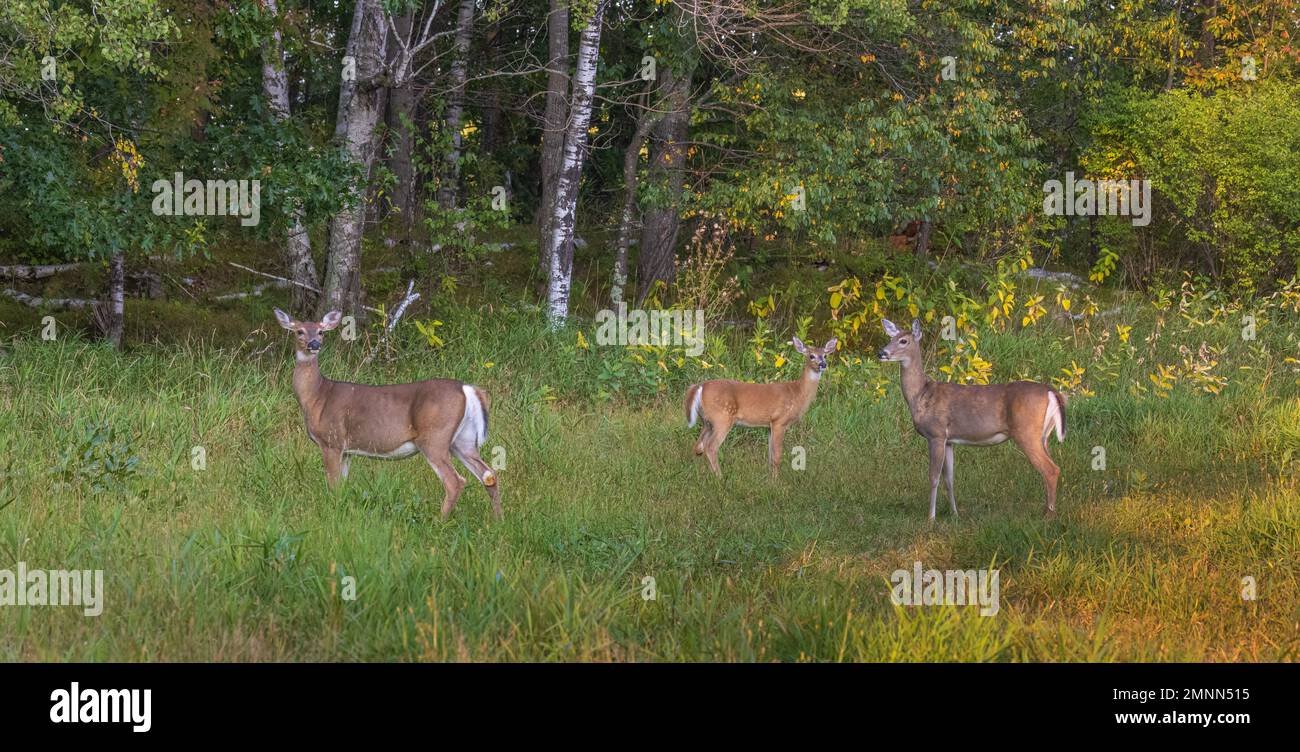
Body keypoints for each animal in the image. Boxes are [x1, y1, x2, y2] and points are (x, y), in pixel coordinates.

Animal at [273, 308, 501, 519]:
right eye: (299, 331)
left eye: (321, 331)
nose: (314, 344)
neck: (316, 396)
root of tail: (467, 389)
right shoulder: (347, 451)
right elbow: (342, 486)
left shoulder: (331, 441)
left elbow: (333, 485)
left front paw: (333, 513)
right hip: (463, 440)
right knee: (489, 474)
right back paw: (498, 520)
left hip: (434, 437)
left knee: (455, 481)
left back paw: (440, 522)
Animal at [684, 337, 837, 478]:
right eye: (811, 355)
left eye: (825, 355)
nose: (823, 364)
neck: (797, 393)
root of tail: (700, 386)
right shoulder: (780, 421)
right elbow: (777, 456)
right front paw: (776, 482)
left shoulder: (769, 425)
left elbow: (770, 455)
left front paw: (768, 479)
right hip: (722, 418)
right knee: (710, 447)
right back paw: (720, 477)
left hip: (707, 421)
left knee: (699, 446)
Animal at [877, 319, 1065, 520]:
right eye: (891, 338)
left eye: (903, 341)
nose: (881, 353)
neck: (921, 395)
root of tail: (1051, 392)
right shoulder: (949, 440)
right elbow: (949, 478)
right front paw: (955, 513)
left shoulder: (936, 433)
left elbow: (933, 477)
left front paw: (931, 518)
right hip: (1044, 435)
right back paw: (1046, 511)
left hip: (1026, 432)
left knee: (1051, 469)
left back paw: (1048, 517)